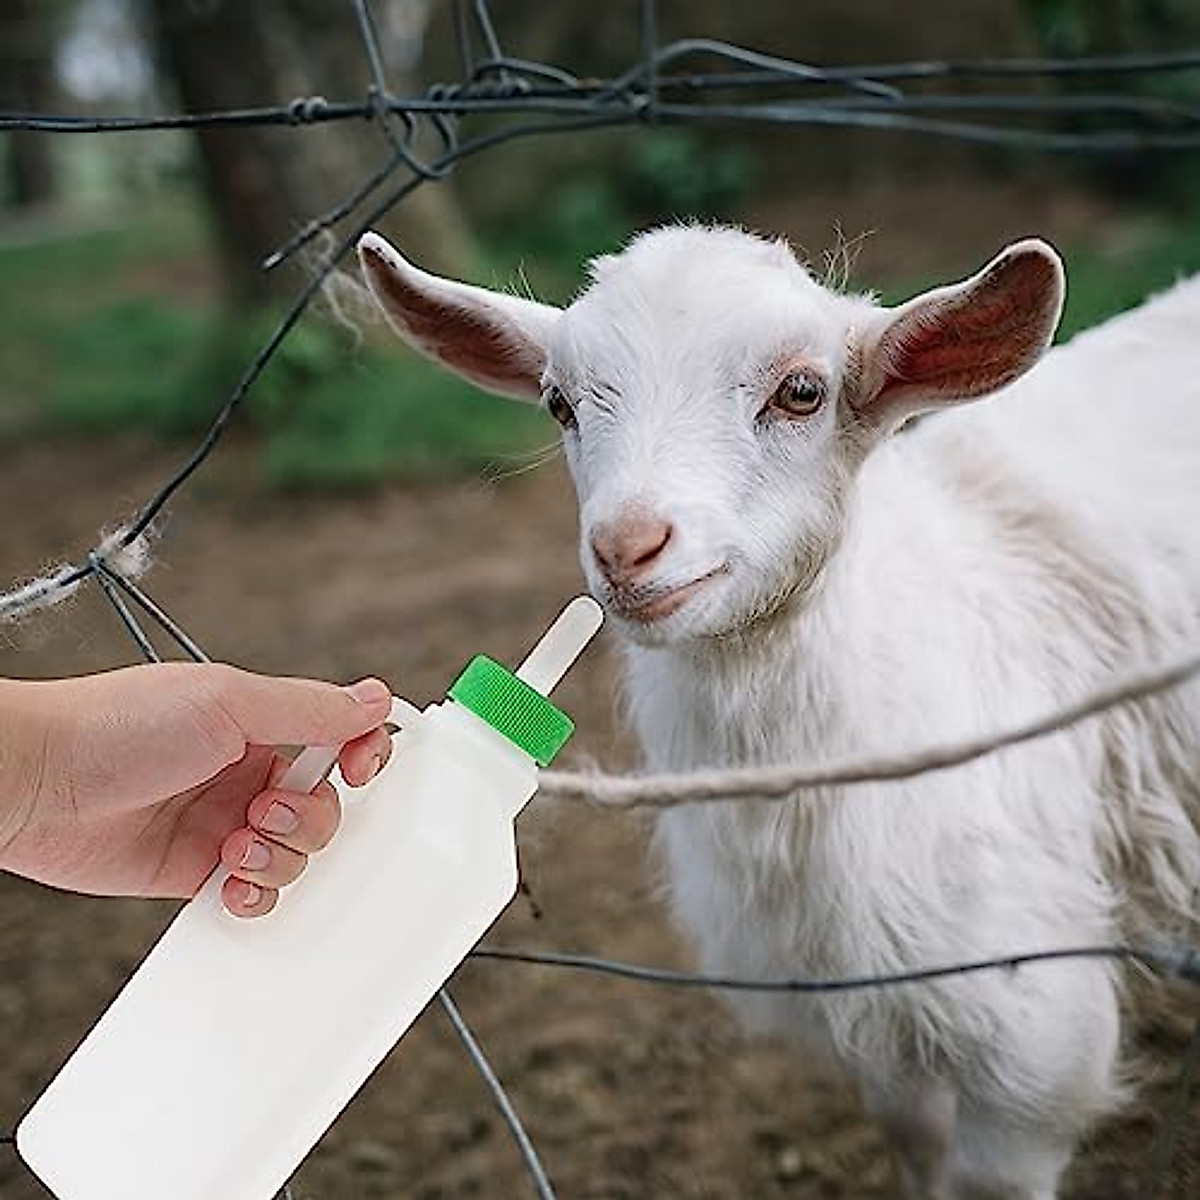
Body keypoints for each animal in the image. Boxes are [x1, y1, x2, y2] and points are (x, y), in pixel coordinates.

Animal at [356, 224, 1200, 1199]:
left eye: (803, 392)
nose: (628, 546)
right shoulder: (859, 1014)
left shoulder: (1034, 1037)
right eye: (560, 403)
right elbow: (914, 1138)